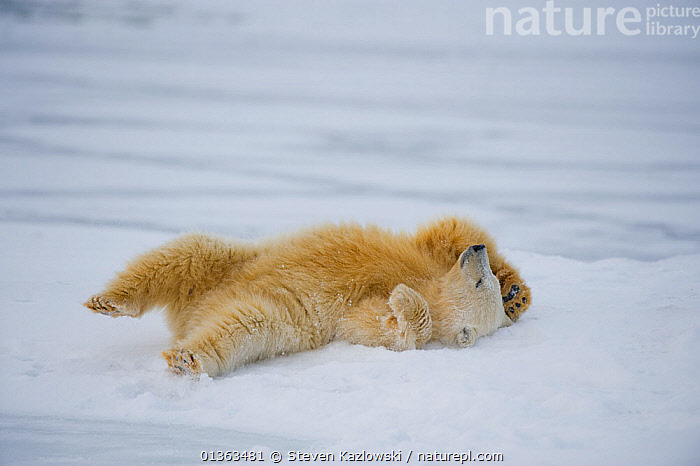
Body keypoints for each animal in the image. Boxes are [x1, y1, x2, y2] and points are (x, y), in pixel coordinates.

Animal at [84, 216, 531, 377]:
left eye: (480, 283)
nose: (477, 255)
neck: (431, 285)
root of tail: (189, 313)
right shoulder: (425, 258)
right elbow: (447, 230)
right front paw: (516, 295)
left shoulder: (365, 319)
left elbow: (384, 329)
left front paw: (402, 300)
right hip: (227, 264)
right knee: (186, 253)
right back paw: (108, 300)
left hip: (270, 315)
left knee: (239, 325)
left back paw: (186, 357)